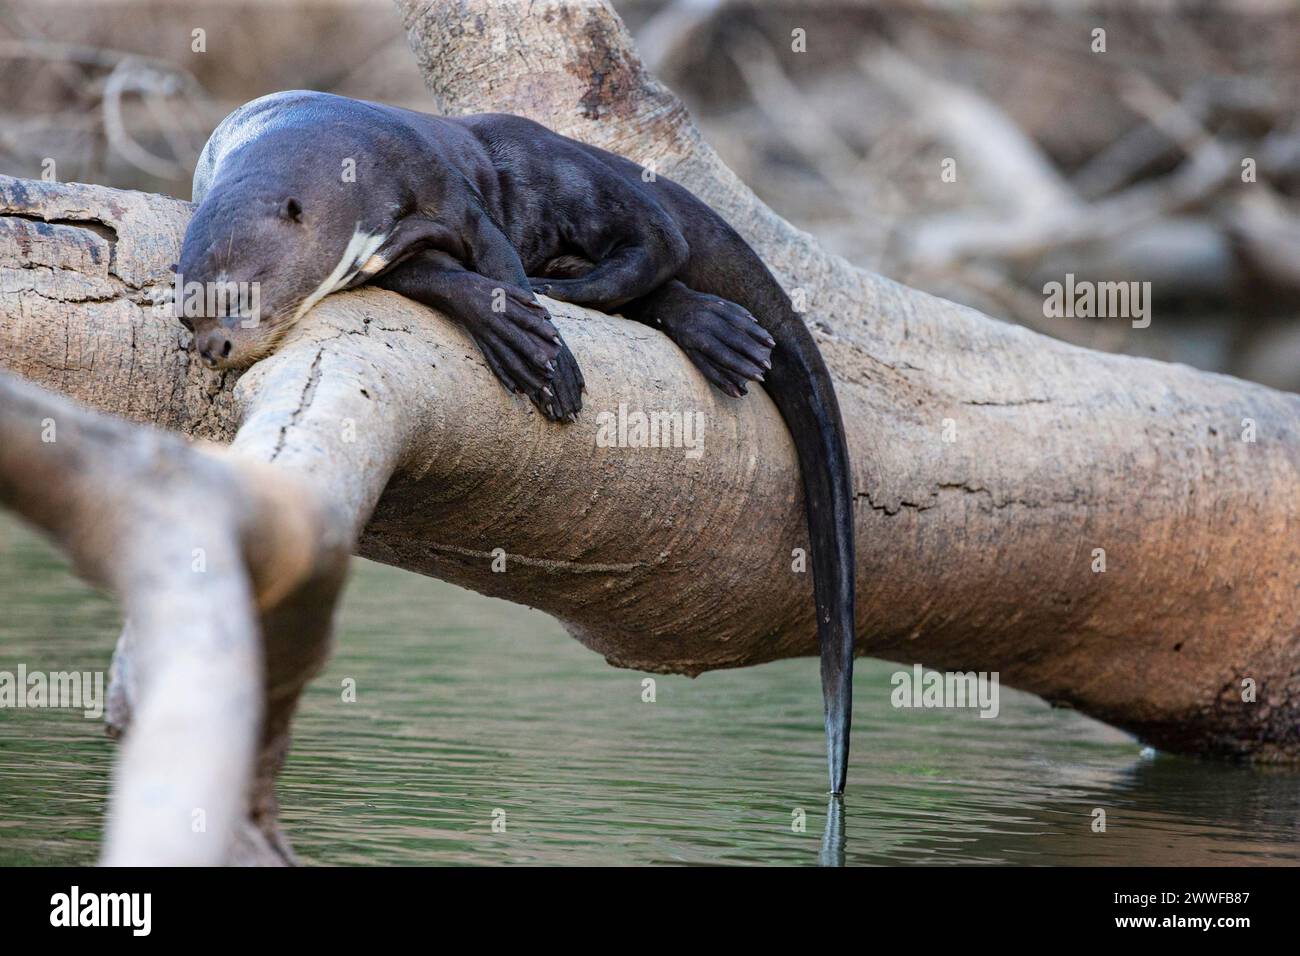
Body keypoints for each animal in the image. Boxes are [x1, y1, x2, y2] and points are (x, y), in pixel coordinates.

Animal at [179, 90, 857, 793]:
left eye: (244, 291)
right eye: (187, 308)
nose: (213, 347)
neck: (343, 150)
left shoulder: (448, 189)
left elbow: (497, 255)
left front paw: (547, 355)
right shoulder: (387, 258)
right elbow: (441, 278)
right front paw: (512, 334)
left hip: (550, 163)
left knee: (659, 239)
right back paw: (715, 330)